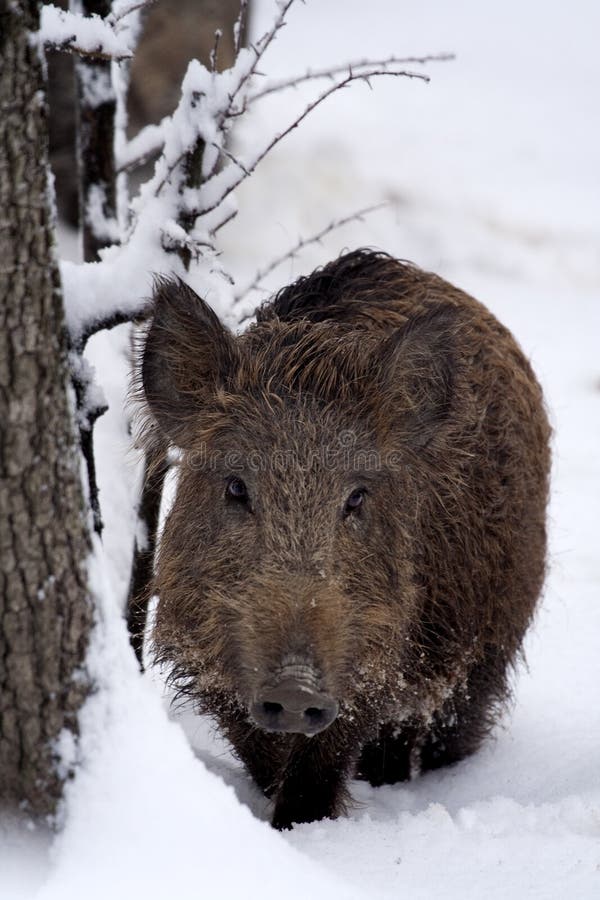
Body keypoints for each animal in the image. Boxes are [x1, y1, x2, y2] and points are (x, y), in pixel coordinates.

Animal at [138, 249, 551, 829]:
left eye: (356, 497)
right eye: (236, 486)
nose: (295, 687)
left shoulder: (380, 643)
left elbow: (320, 769)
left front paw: (303, 829)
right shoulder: (207, 653)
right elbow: (261, 753)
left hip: (490, 642)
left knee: (450, 729)